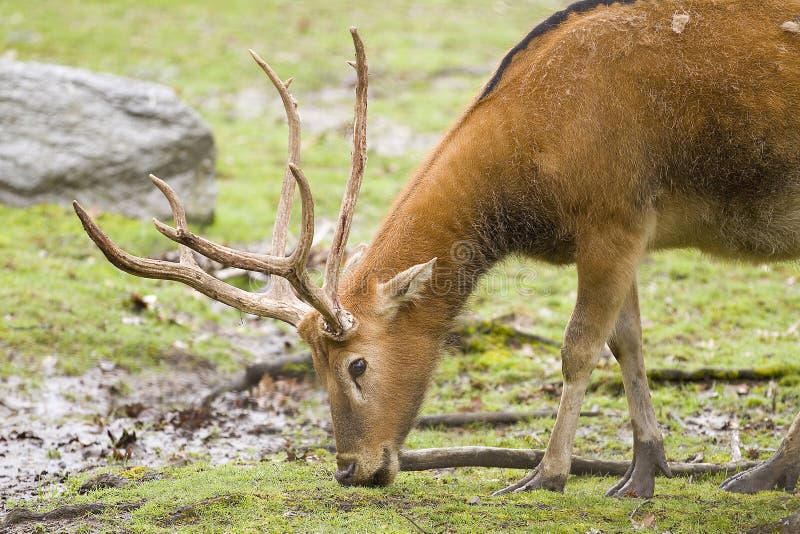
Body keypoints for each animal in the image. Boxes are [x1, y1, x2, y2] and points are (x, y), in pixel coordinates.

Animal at [73, 0, 800, 498]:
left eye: (357, 364)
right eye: (310, 365)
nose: (350, 469)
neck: (532, 166)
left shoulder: (615, 215)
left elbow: (577, 348)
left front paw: (545, 475)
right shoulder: (623, 236)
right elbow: (629, 342)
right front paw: (644, 470)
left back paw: (764, 474)